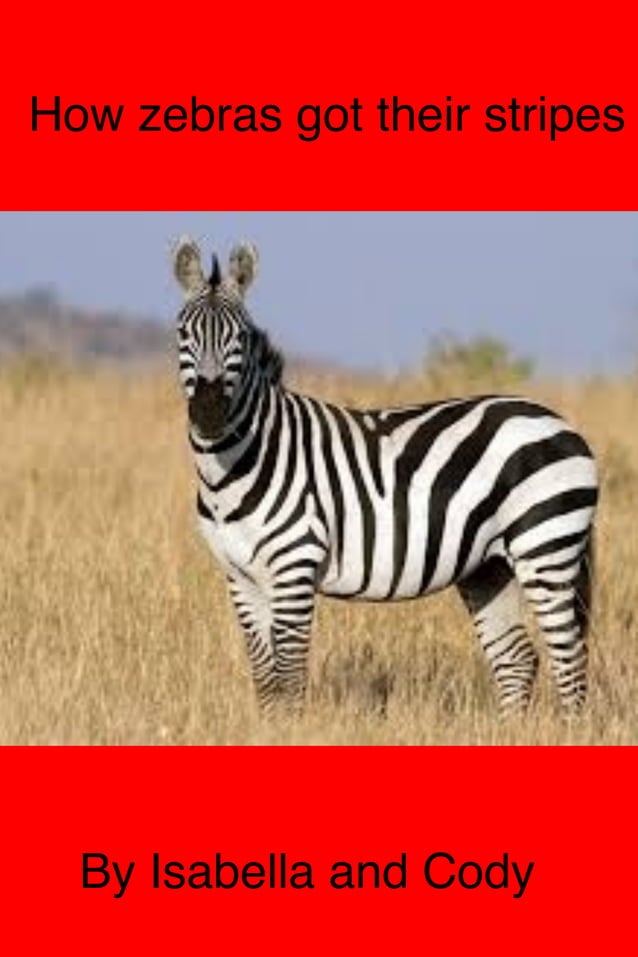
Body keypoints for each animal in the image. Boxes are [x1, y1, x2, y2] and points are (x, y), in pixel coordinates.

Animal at [171, 236, 598, 718]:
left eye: (239, 338)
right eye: (183, 333)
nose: (208, 414)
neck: (236, 469)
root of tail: (561, 422)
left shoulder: (295, 566)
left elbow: (289, 674)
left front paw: (292, 728)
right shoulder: (240, 576)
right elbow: (264, 675)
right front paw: (268, 727)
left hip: (546, 547)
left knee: (568, 656)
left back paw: (567, 728)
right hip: (489, 565)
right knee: (517, 657)